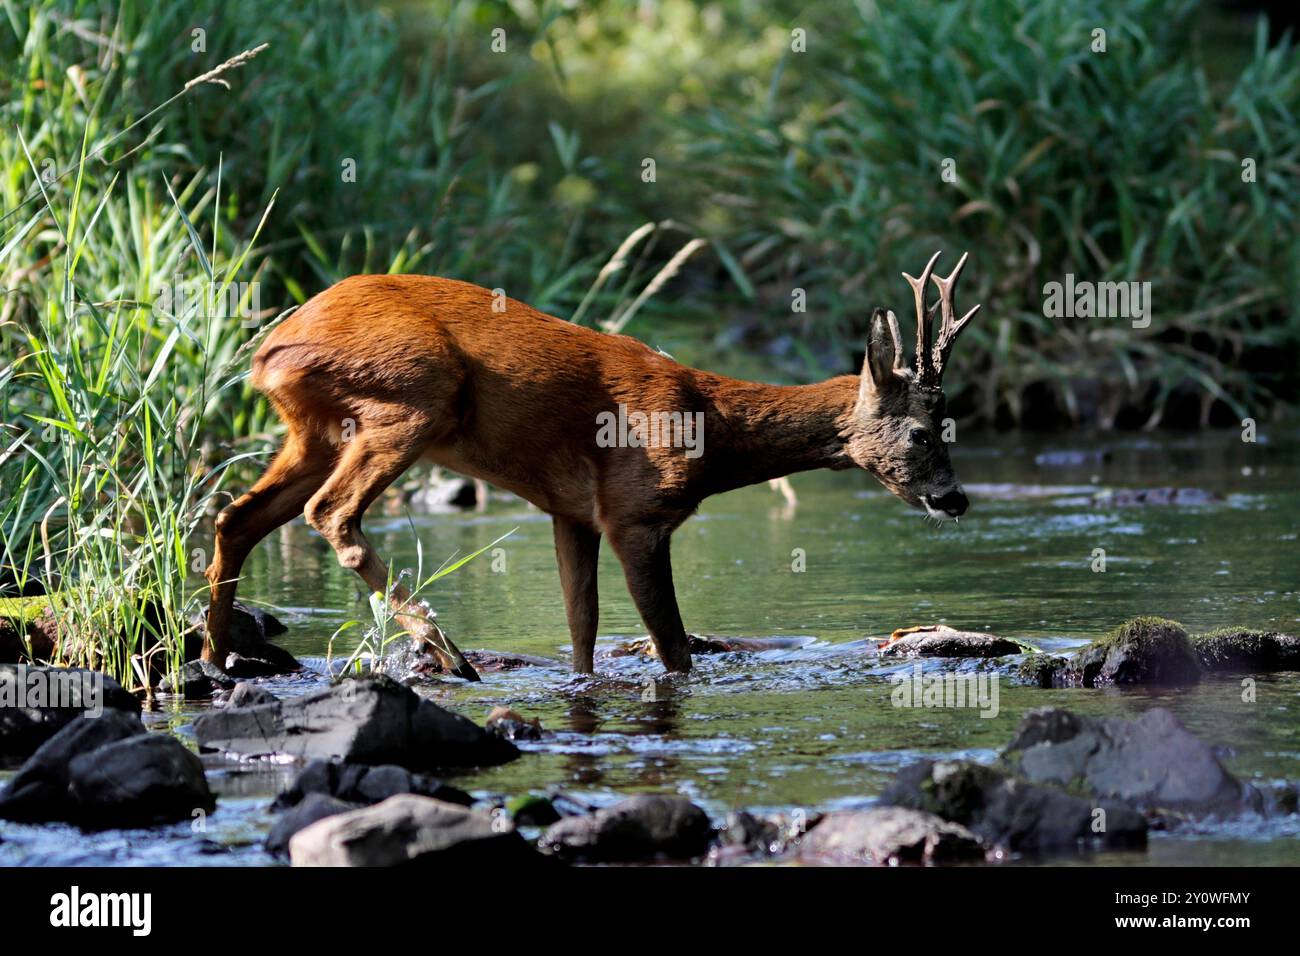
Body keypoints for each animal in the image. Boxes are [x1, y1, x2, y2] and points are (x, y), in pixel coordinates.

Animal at [203, 250, 979, 681]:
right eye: (920, 432)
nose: (956, 500)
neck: (711, 425)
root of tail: (266, 352)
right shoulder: (636, 512)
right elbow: (673, 648)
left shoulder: (571, 512)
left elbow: (583, 630)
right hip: (414, 394)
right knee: (330, 512)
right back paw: (448, 651)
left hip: (316, 430)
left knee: (236, 516)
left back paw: (212, 657)